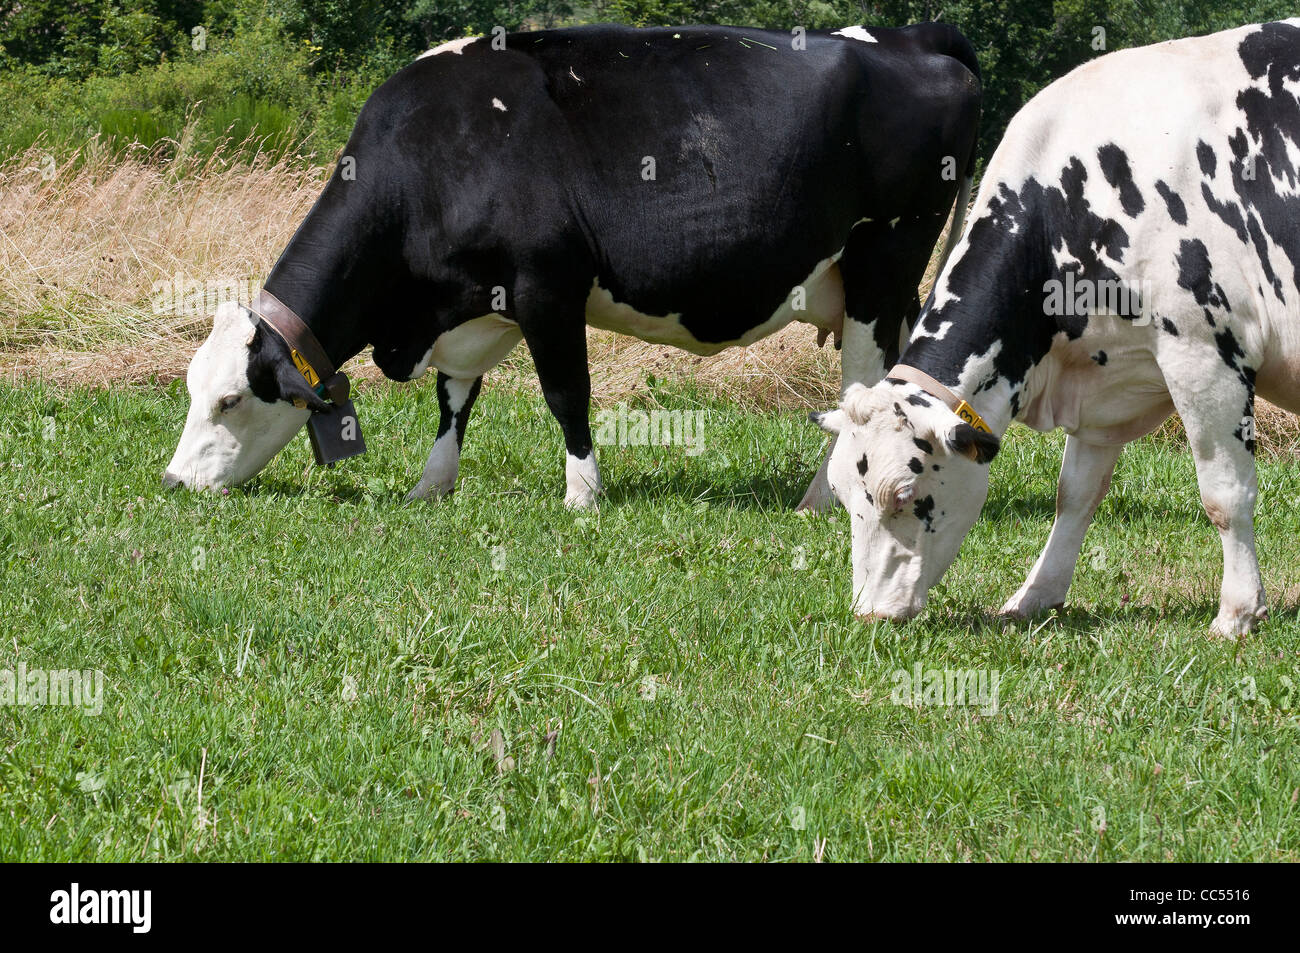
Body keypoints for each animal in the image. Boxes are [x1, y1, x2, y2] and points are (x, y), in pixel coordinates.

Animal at [163, 22, 981, 510]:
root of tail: (913, 36)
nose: (172, 481)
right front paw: (432, 485)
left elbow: (566, 395)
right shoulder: (469, 306)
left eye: (231, 400)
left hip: (881, 265)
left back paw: (824, 496)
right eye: (192, 390)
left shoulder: (546, 288)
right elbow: (453, 398)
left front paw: (583, 494)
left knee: (862, 386)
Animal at [813, 20, 1300, 637]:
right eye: (839, 492)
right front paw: (1035, 596)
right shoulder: (1106, 375)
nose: (870, 613)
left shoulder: (1205, 354)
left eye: (903, 493)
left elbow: (1224, 496)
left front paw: (1237, 613)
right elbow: (1075, 495)